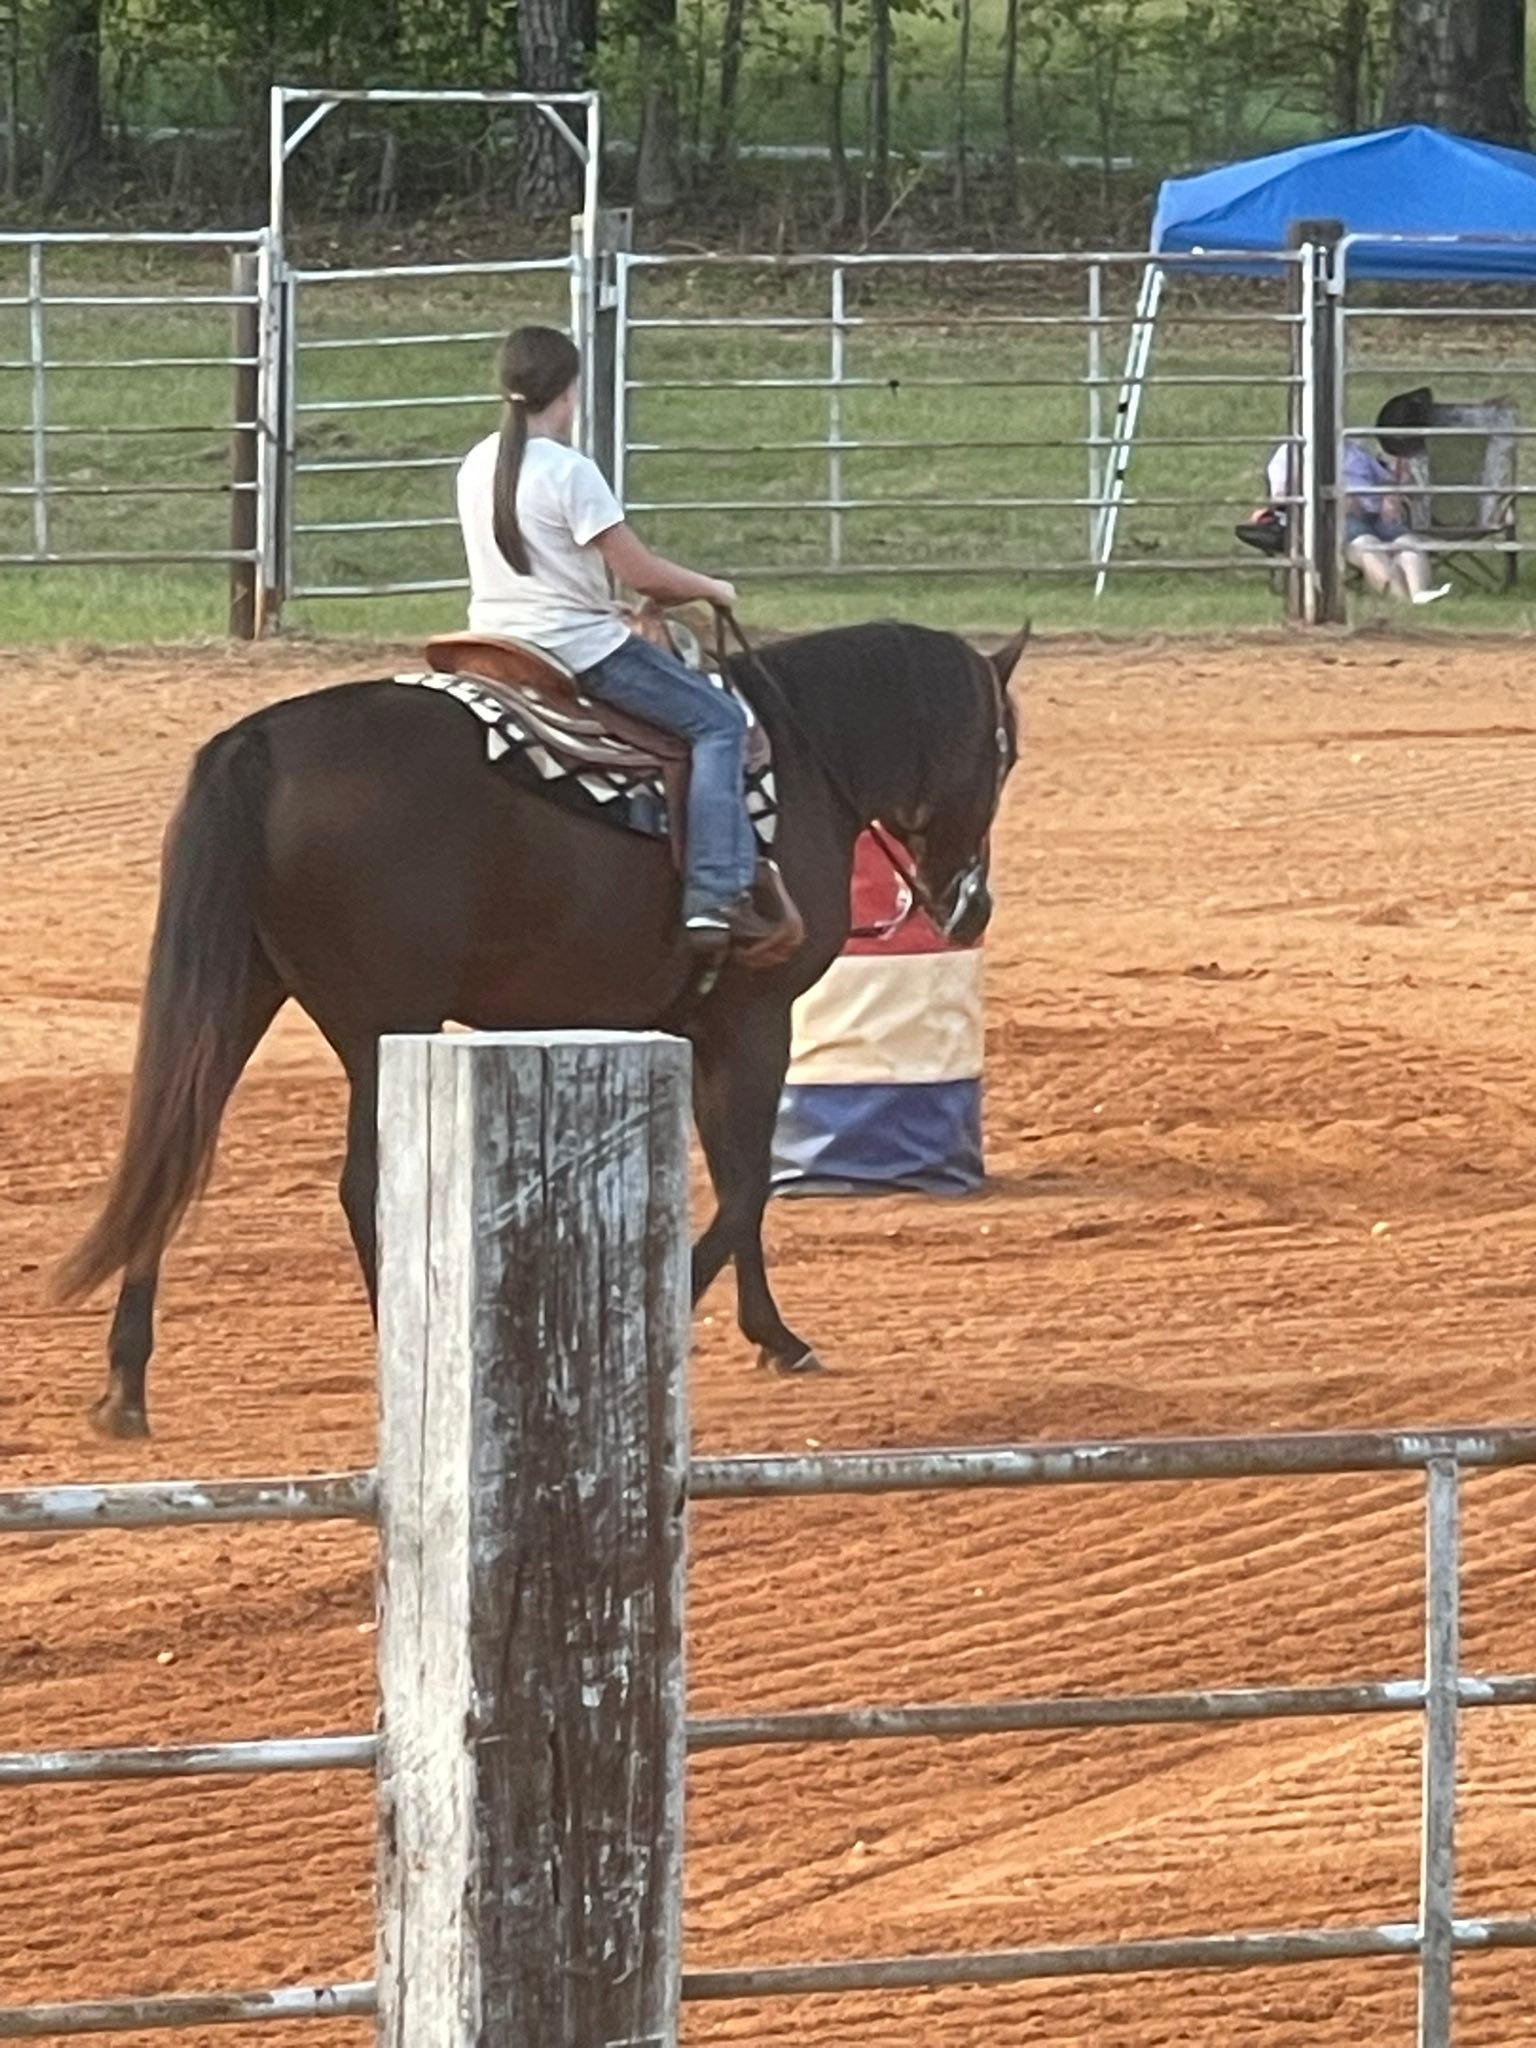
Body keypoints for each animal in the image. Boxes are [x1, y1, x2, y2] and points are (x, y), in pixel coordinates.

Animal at [55, 618, 1025, 1436]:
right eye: (1004, 754)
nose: (971, 908)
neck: (801, 758)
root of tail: (259, 741)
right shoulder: (755, 1017)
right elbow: (746, 1183)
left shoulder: (702, 1024)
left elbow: (736, 1176)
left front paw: (773, 1337)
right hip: (384, 1020)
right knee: (362, 1185)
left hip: (246, 994)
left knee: (170, 1153)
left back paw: (125, 1386)